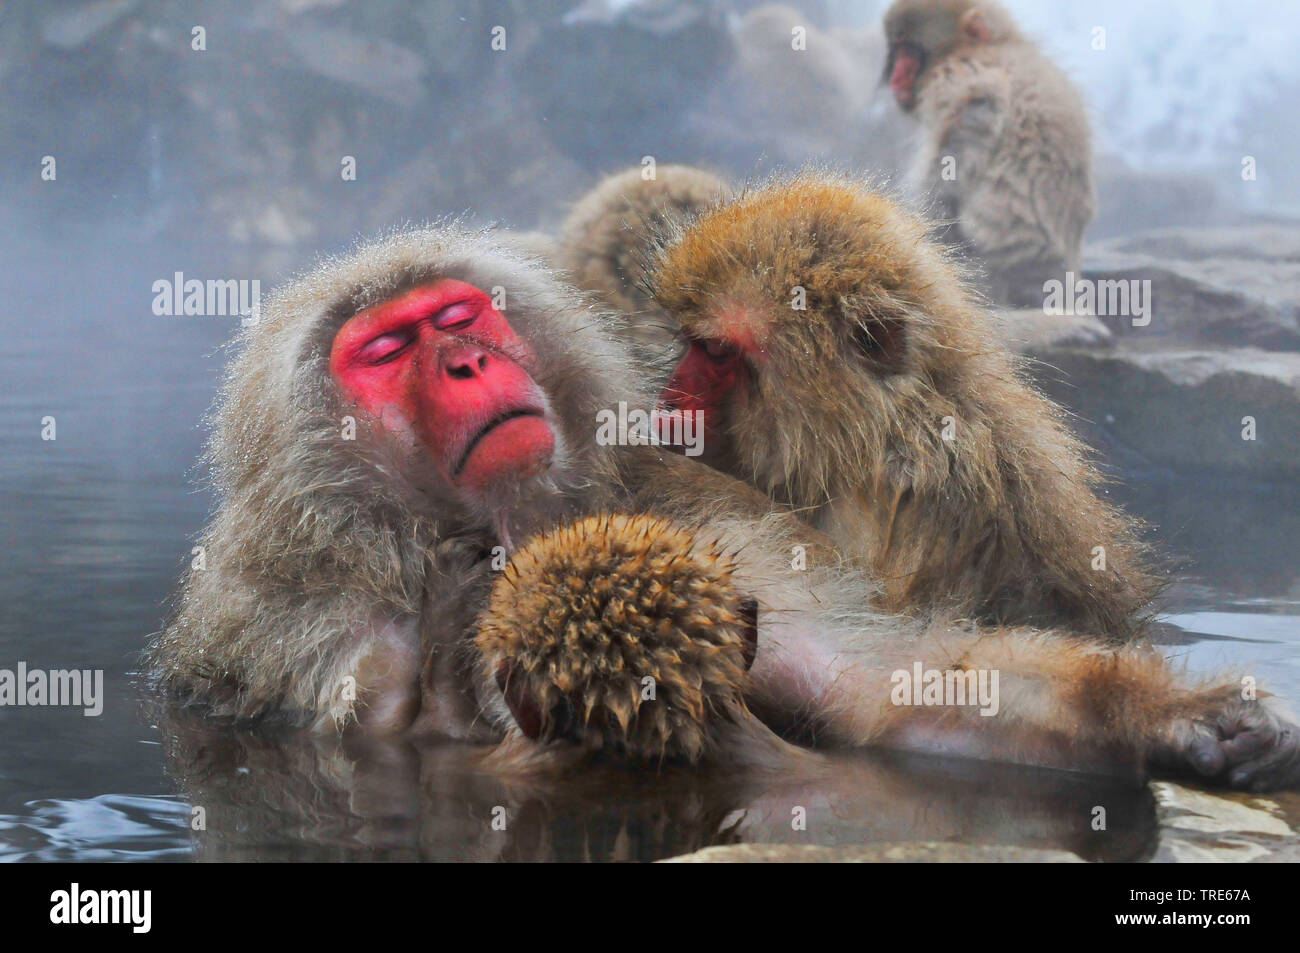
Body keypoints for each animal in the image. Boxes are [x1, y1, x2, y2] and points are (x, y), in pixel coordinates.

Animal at [144, 221, 1300, 790]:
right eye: (387, 350)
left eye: (459, 318)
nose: (470, 360)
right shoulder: (295, 631)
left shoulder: (697, 517)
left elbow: (880, 686)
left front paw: (1176, 718)